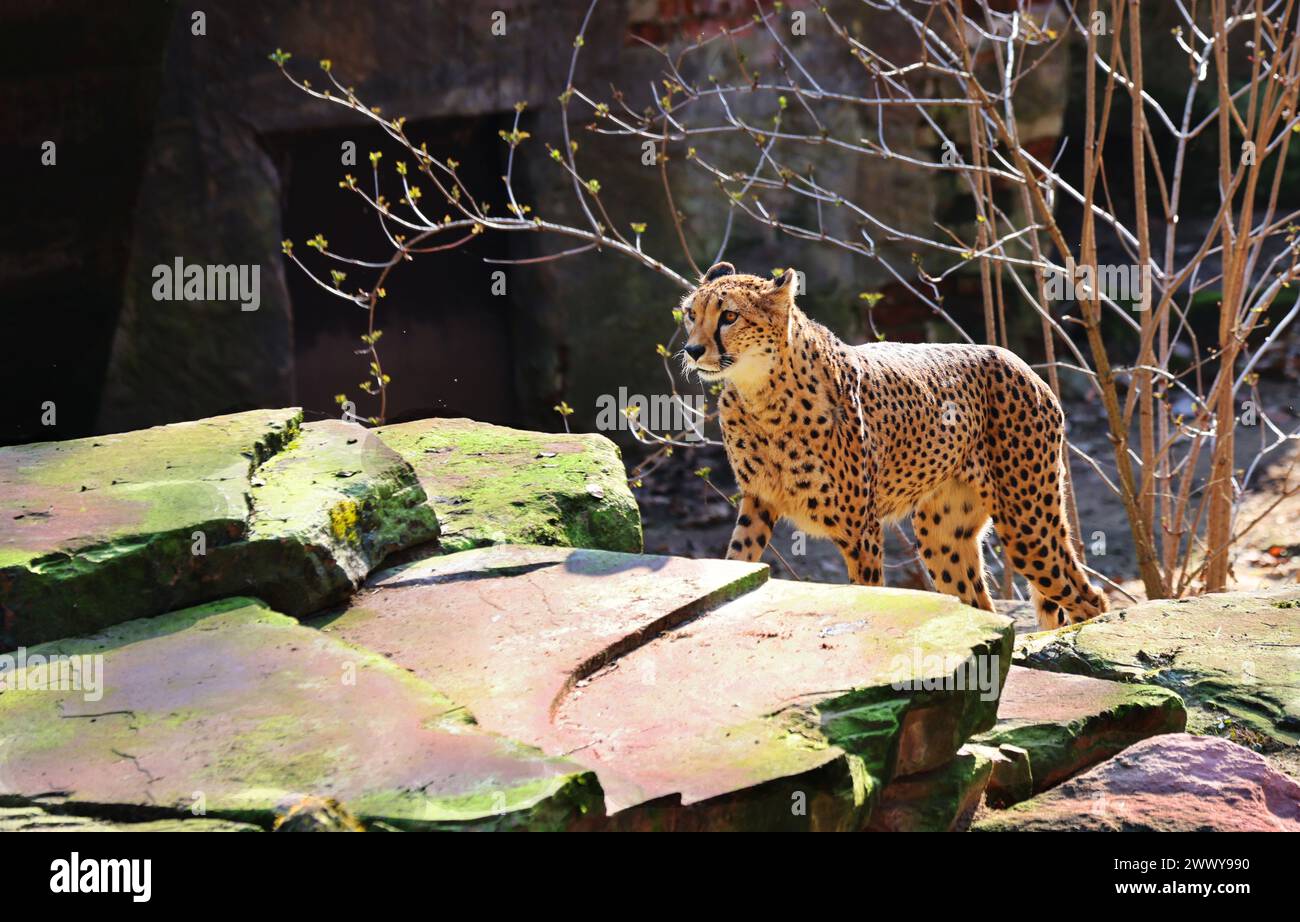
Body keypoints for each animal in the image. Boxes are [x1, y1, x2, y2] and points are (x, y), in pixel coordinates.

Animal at [679, 261, 1109, 629]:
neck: (760, 393)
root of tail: (1019, 362)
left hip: (1026, 523)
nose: (692, 350)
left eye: (729, 316)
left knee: (1090, 599)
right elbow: (738, 563)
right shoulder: (758, 501)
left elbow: (867, 597)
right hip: (943, 535)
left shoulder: (860, 530)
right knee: (982, 607)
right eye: (690, 314)